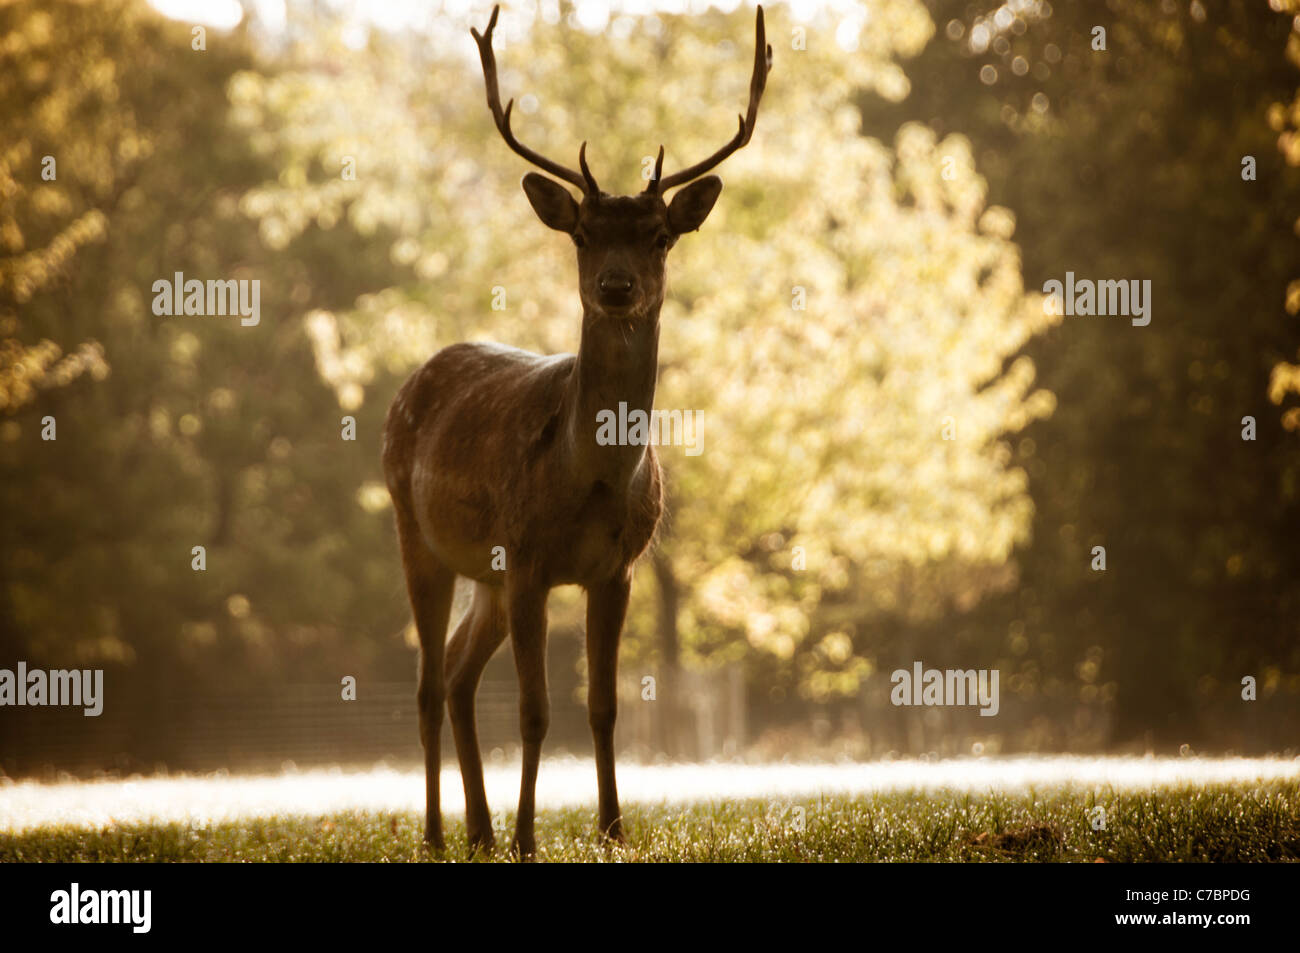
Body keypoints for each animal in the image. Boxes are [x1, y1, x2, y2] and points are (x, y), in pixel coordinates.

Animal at [381, 3, 770, 857]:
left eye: (660, 235)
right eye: (583, 233)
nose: (617, 286)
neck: (589, 478)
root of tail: (412, 381)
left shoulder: (616, 568)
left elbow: (604, 704)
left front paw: (614, 827)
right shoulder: (528, 556)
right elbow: (534, 712)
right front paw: (533, 836)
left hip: (488, 576)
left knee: (457, 674)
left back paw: (480, 829)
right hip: (418, 533)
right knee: (426, 682)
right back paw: (439, 831)